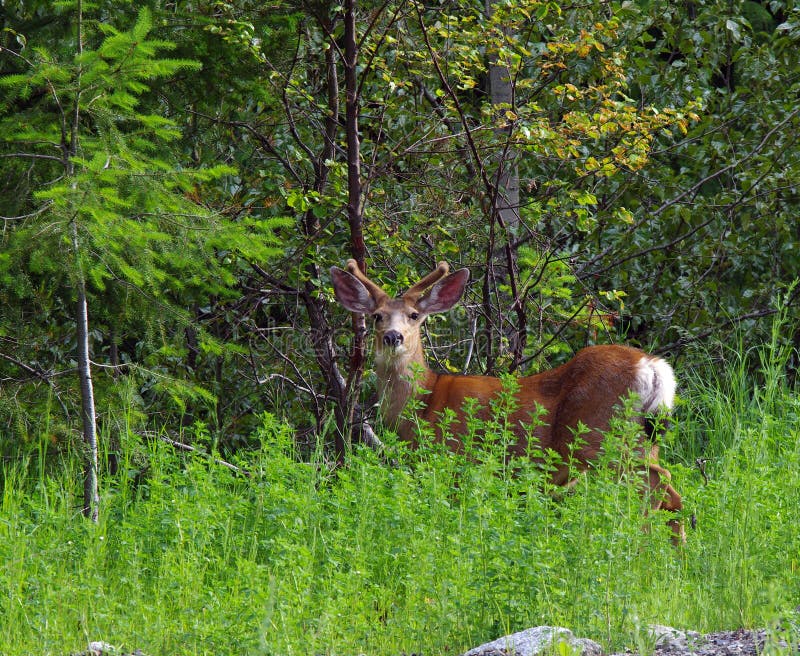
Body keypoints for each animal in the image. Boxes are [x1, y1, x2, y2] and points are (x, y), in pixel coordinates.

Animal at [330, 259, 685, 541]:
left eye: (414, 314)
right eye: (377, 316)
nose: (394, 337)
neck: (424, 400)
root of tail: (652, 366)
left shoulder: (456, 456)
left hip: (598, 437)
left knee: (656, 483)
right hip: (641, 439)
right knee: (669, 491)